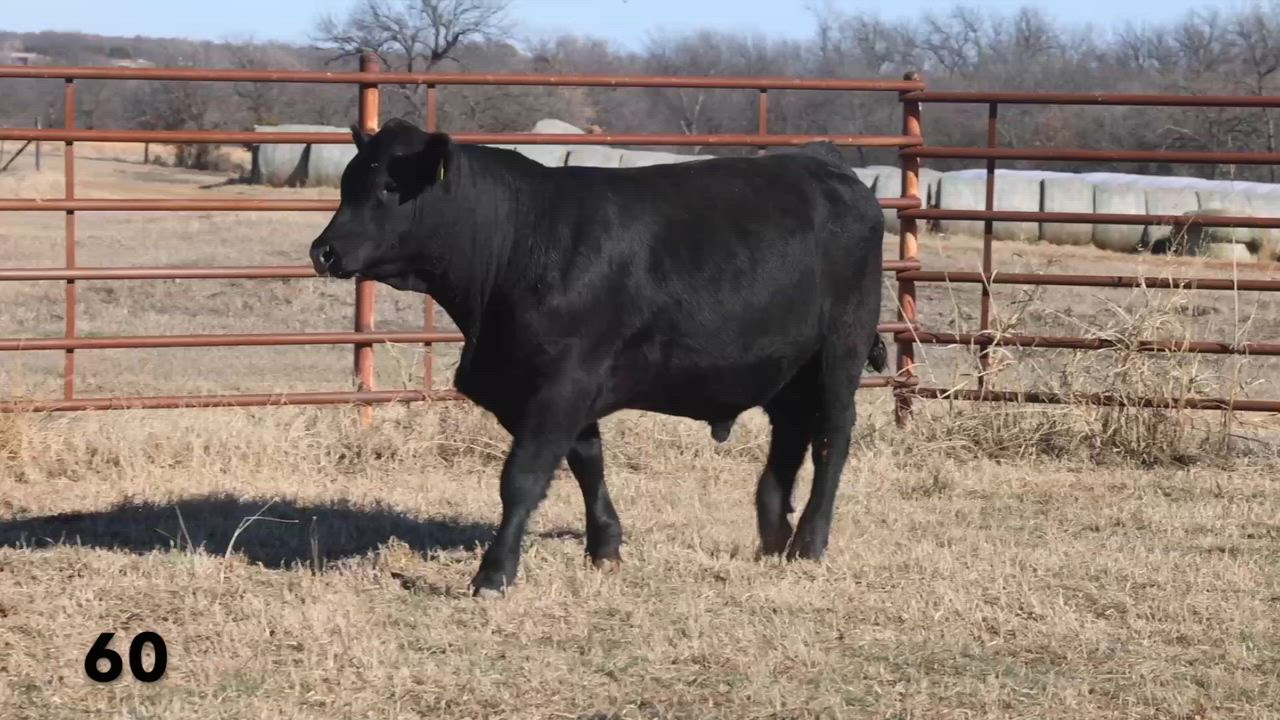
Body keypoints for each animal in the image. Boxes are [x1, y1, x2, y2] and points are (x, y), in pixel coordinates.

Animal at [310, 118, 886, 597]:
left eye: (388, 187)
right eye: (348, 183)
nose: (324, 251)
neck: (520, 241)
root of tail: (822, 161)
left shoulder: (563, 382)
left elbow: (522, 477)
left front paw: (494, 574)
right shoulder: (550, 388)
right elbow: (587, 462)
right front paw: (605, 547)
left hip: (842, 350)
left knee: (831, 439)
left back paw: (809, 541)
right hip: (786, 368)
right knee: (790, 435)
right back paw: (773, 535)